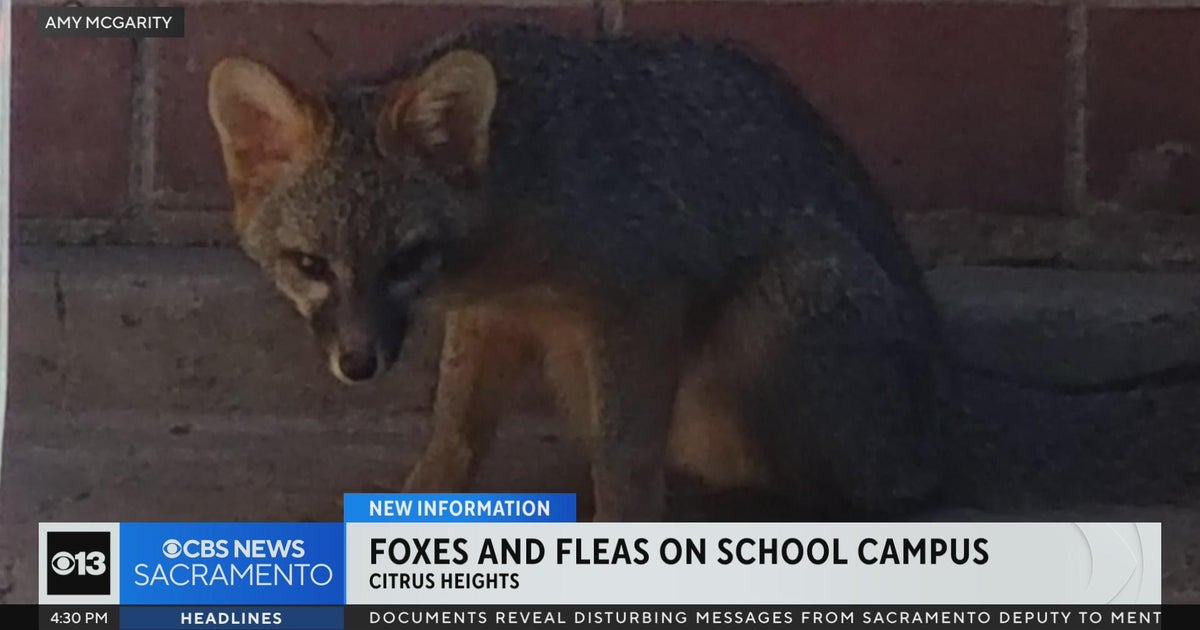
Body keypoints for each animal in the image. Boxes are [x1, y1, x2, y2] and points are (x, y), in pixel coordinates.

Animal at [207, 23, 951, 521]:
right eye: (310, 265)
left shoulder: (639, 301)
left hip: (787, 299)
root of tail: (929, 428)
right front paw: (421, 501)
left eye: (406, 260)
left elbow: (624, 455)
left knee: (848, 493)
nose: (359, 364)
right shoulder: (492, 314)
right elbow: (457, 425)